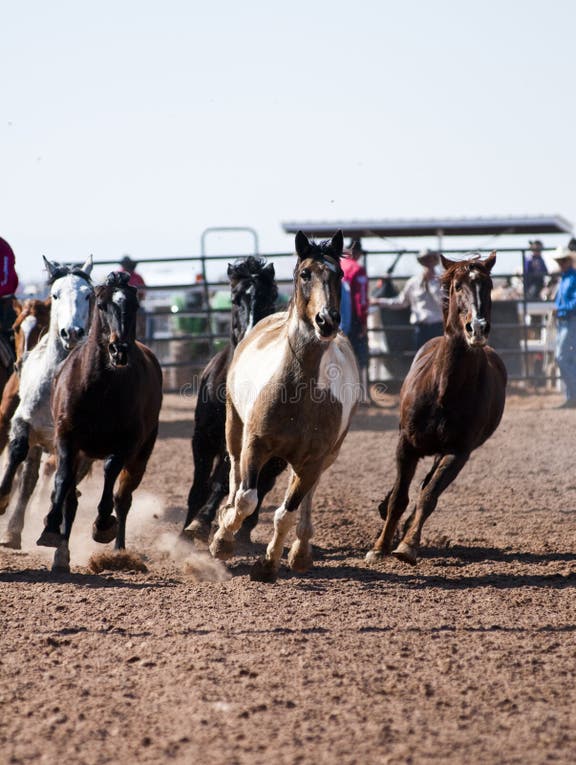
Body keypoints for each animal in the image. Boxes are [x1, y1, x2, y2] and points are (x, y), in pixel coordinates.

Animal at [36, 272, 163, 572]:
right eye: (102, 305)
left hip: (142, 454)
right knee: (72, 496)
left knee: (123, 498)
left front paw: (103, 525)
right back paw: (62, 553)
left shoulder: (127, 443)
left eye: (135, 305)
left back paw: (119, 551)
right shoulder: (66, 438)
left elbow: (110, 474)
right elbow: (62, 481)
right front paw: (51, 528)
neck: (100, 388)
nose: (119, 349)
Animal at [182, 256, 284, 542]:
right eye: (235, 298)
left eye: (271, 296)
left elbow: (223, 485)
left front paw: (202, 522)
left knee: (258, 486)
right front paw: (187, 528)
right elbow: (200, 487)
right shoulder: (202, 439)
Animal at [209, 230, 360, 582]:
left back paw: (301, 550)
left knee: (305, 495)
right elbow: (247, 500)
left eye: (339, 274)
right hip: (234, 427)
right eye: (305, 273)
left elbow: (285, 513)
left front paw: (268, 563)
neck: (297, 392)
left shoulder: (314, 459)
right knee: (235, 474)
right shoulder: (255, 444)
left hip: (324, 457)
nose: (327, 320)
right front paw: (223, 540)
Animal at [365, 252, 507, 567]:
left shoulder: (458, 452)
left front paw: (407, 546)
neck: (444, 390)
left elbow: (428, 496)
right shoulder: (406, 444)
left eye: (489, 285)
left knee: (425, 487)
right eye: (457, 286)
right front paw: (379, 546)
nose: (478, 328)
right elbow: (399, 498)